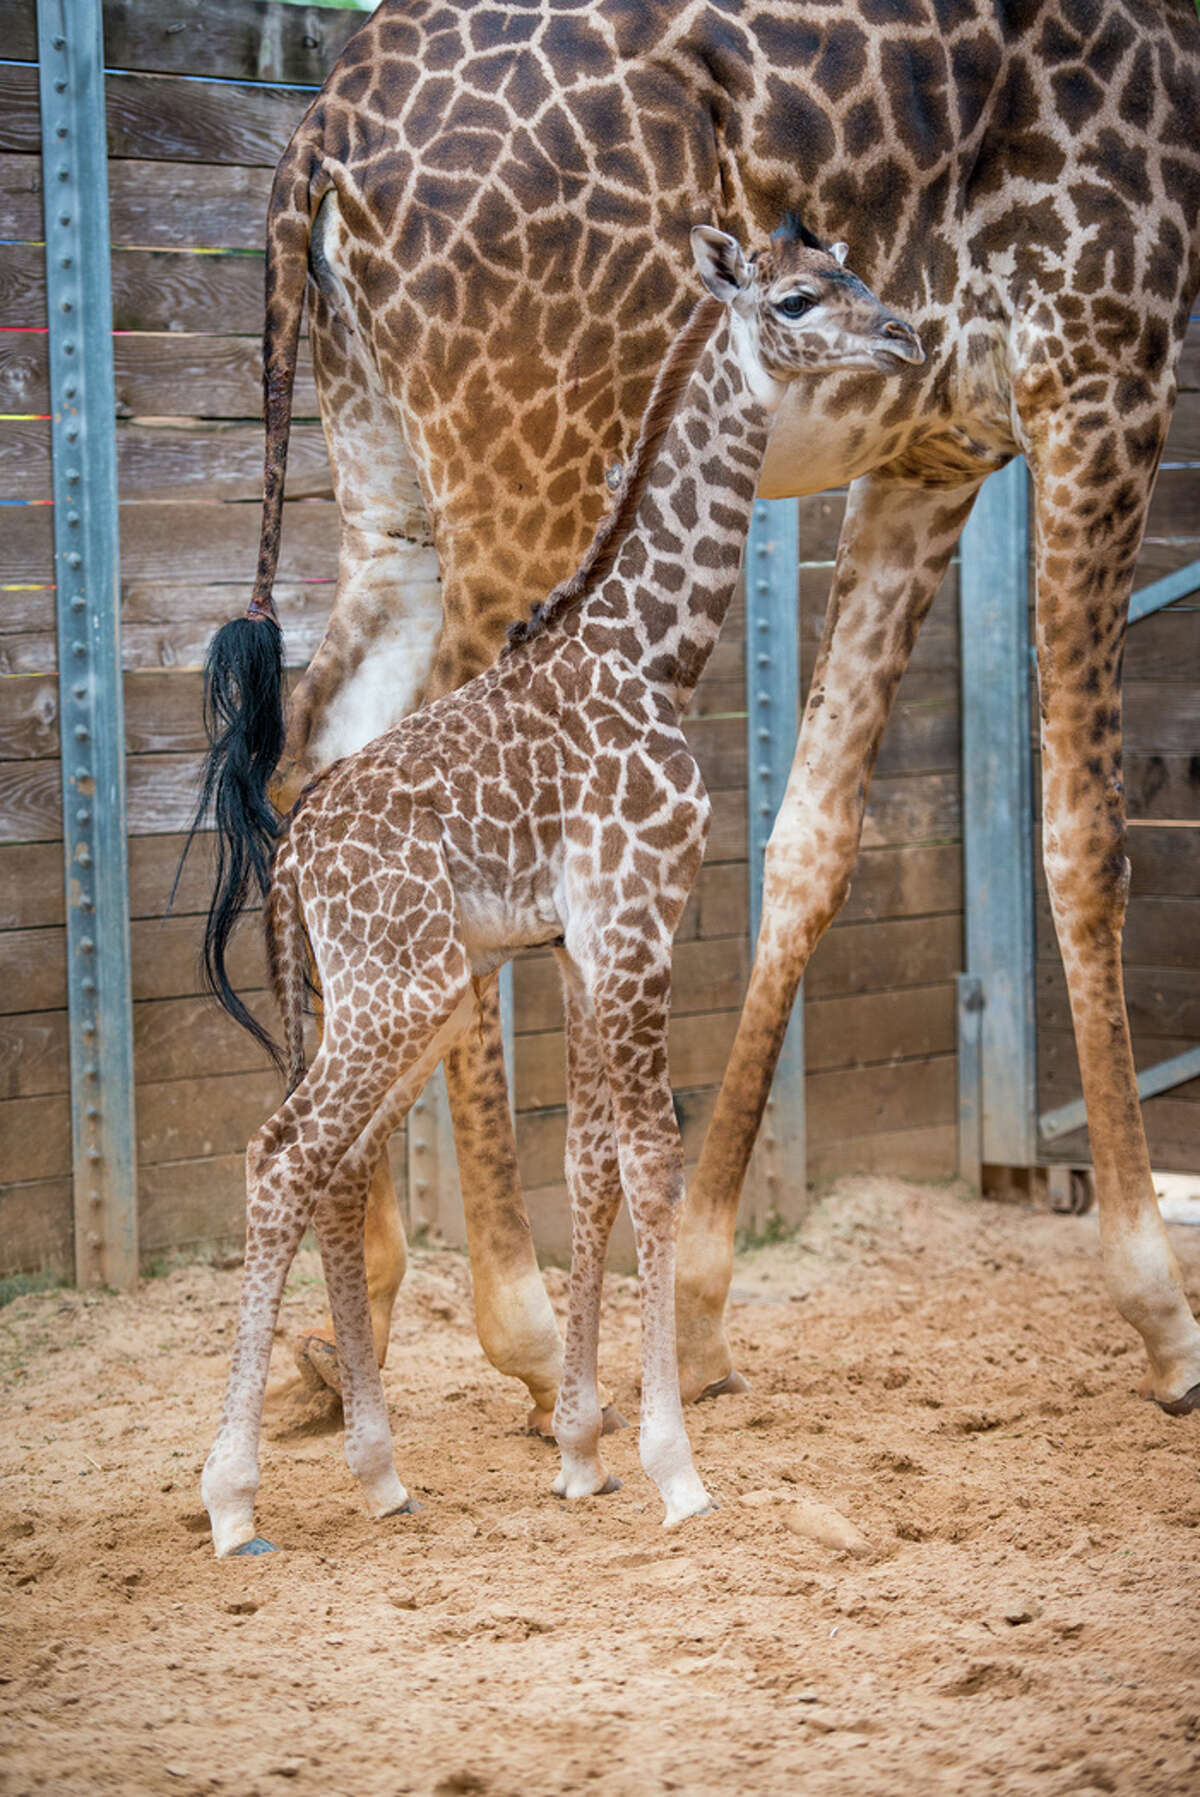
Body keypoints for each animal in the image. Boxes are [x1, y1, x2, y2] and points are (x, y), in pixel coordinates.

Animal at [196, 0, 1200, 1421]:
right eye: (799, 290)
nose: (900, 334)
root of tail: (321, 131)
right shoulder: (1102, 367)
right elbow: (1086, 836)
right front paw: (1164, 1318)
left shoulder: (938, 449)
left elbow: (814, 839)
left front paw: (707, 1308)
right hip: (526, 462)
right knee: (424, 767)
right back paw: (520, 1323)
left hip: (384, 476)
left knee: (317, 761)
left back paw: (356, 1322)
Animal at [200, 223, 924, 1555]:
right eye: (802, 299)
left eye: (859, 271)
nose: (903, 335)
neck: (654, 652)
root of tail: (296, 857)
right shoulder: (640, 918)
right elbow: (649, 1158)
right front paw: (675, 1467)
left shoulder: (585, 944)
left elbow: (588, 1167)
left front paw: (583, 1452)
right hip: (400, 988)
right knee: (281, 1157)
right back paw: (232, 1503)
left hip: (399, 994)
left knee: (335, 1168)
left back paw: (382, 1476)